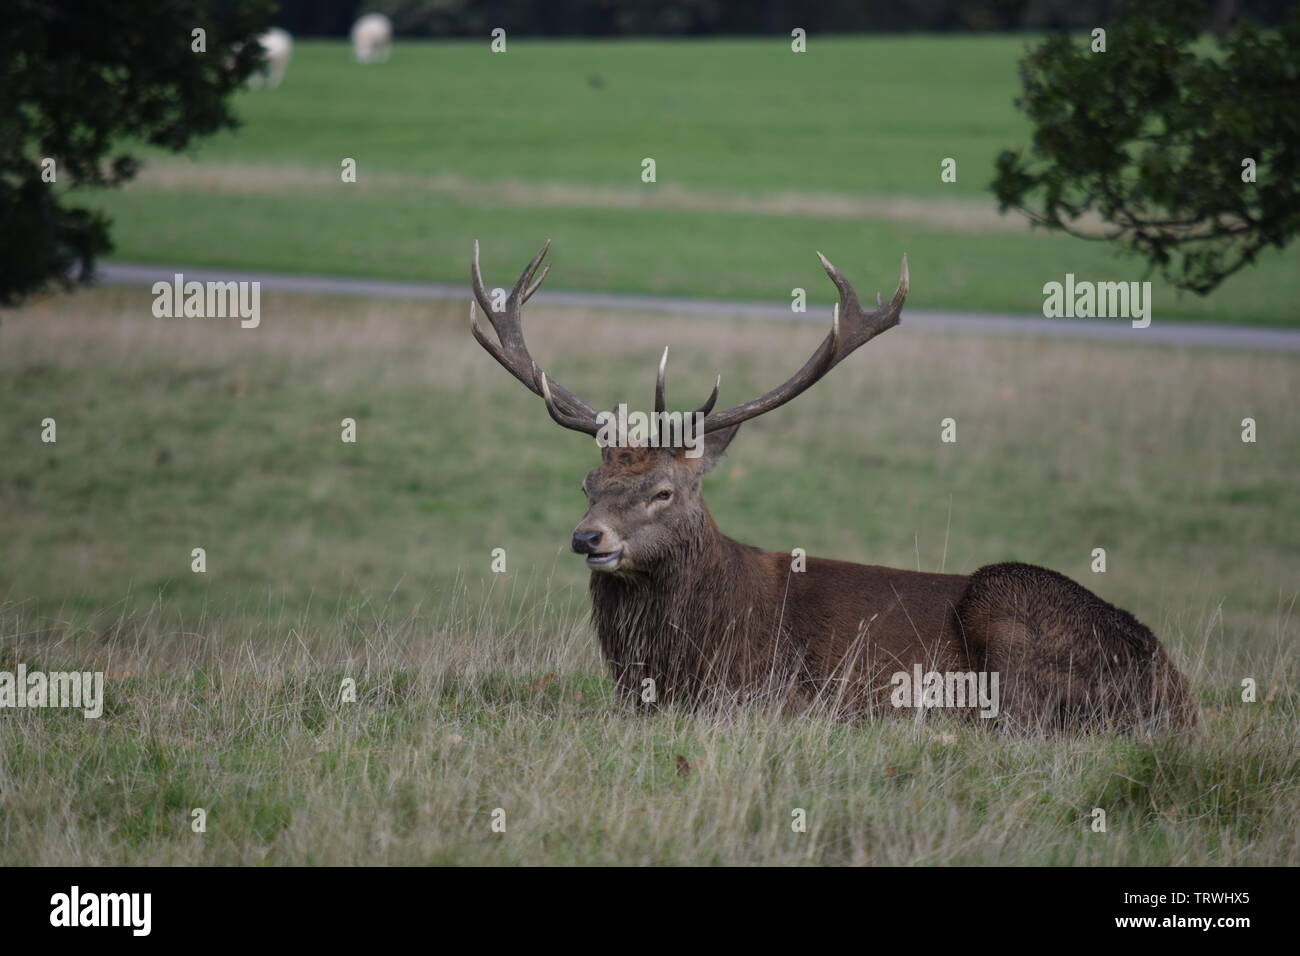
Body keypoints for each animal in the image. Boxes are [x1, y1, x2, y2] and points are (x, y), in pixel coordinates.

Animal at [468, 242, 1195, 732]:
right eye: (587, 482)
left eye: (663, 492)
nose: (587, 538)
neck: (679, 656)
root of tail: (1176, 690)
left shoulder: (778, 693)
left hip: (1008, 600)